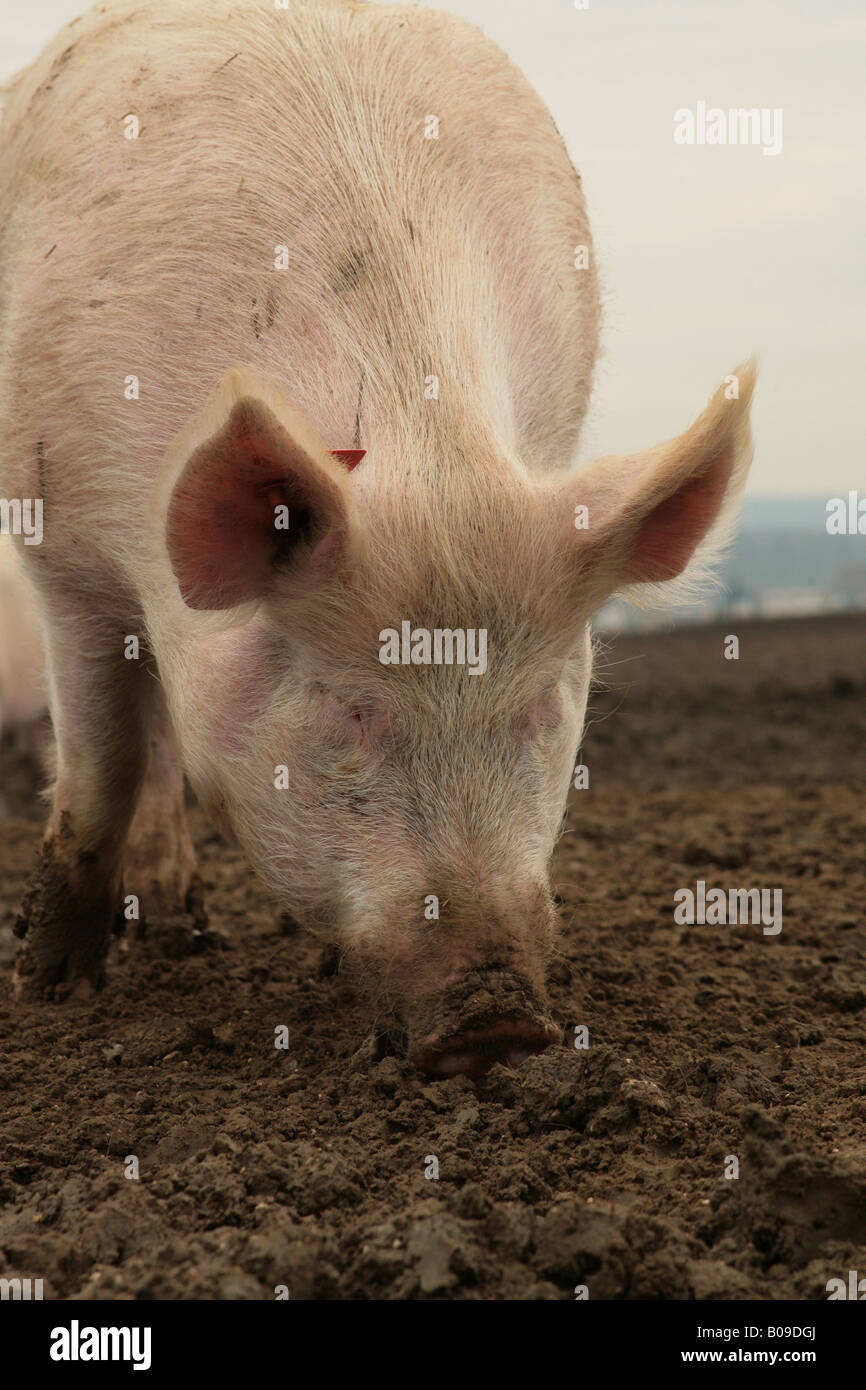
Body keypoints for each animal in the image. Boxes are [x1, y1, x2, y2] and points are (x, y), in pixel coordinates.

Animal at [0, 0, 755, 1075]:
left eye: (543, 709)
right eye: (347, 711)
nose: (496, 1021)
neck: (422, 460)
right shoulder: (60, 550)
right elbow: (100, 770)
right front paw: (51, 997)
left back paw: (183, 929)